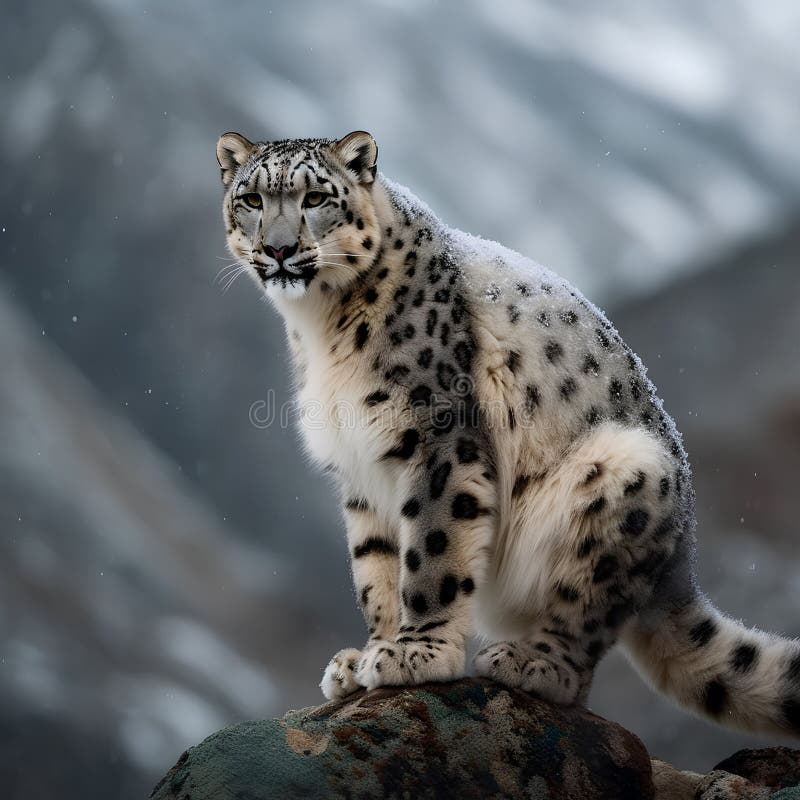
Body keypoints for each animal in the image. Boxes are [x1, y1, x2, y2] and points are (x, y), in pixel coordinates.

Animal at [215, 129, 800, 737]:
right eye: (252, 200)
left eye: (315, 199)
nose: (278, 249)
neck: (319, 328)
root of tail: (682, 557)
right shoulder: (359, 469)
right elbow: (375, 569)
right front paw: (368, 654)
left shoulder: (439, 440)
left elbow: (431, 550)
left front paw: (416, 653)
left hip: (627, 471)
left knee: (581, 640)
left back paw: (530, 661)